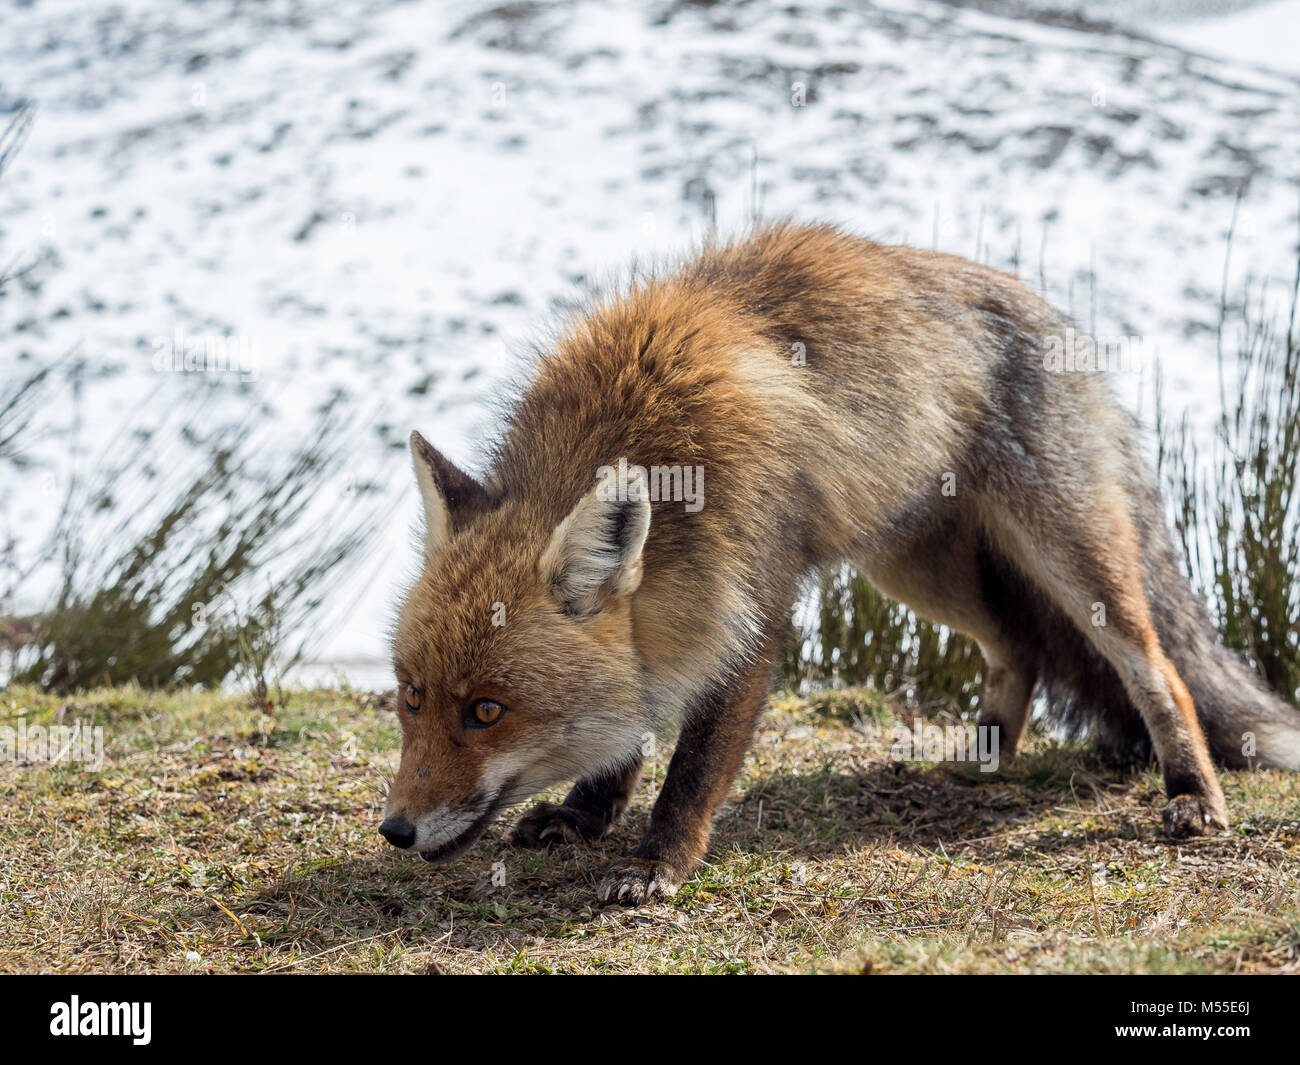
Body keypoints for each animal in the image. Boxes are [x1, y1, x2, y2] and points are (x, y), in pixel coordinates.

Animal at [380, 221, 1300, 904]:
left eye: (487, 711)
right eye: (412, 698)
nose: (394, 829)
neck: (638, 437)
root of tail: (1049, 309)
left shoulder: (751, 602)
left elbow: (694, 769)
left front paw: (655, 861)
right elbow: (632, 721)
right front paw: (586, 813)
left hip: (1070, 554)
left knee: (1156, 665)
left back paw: (1191, 793)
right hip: (913, 569)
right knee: (1020, 644)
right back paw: (985, 755)